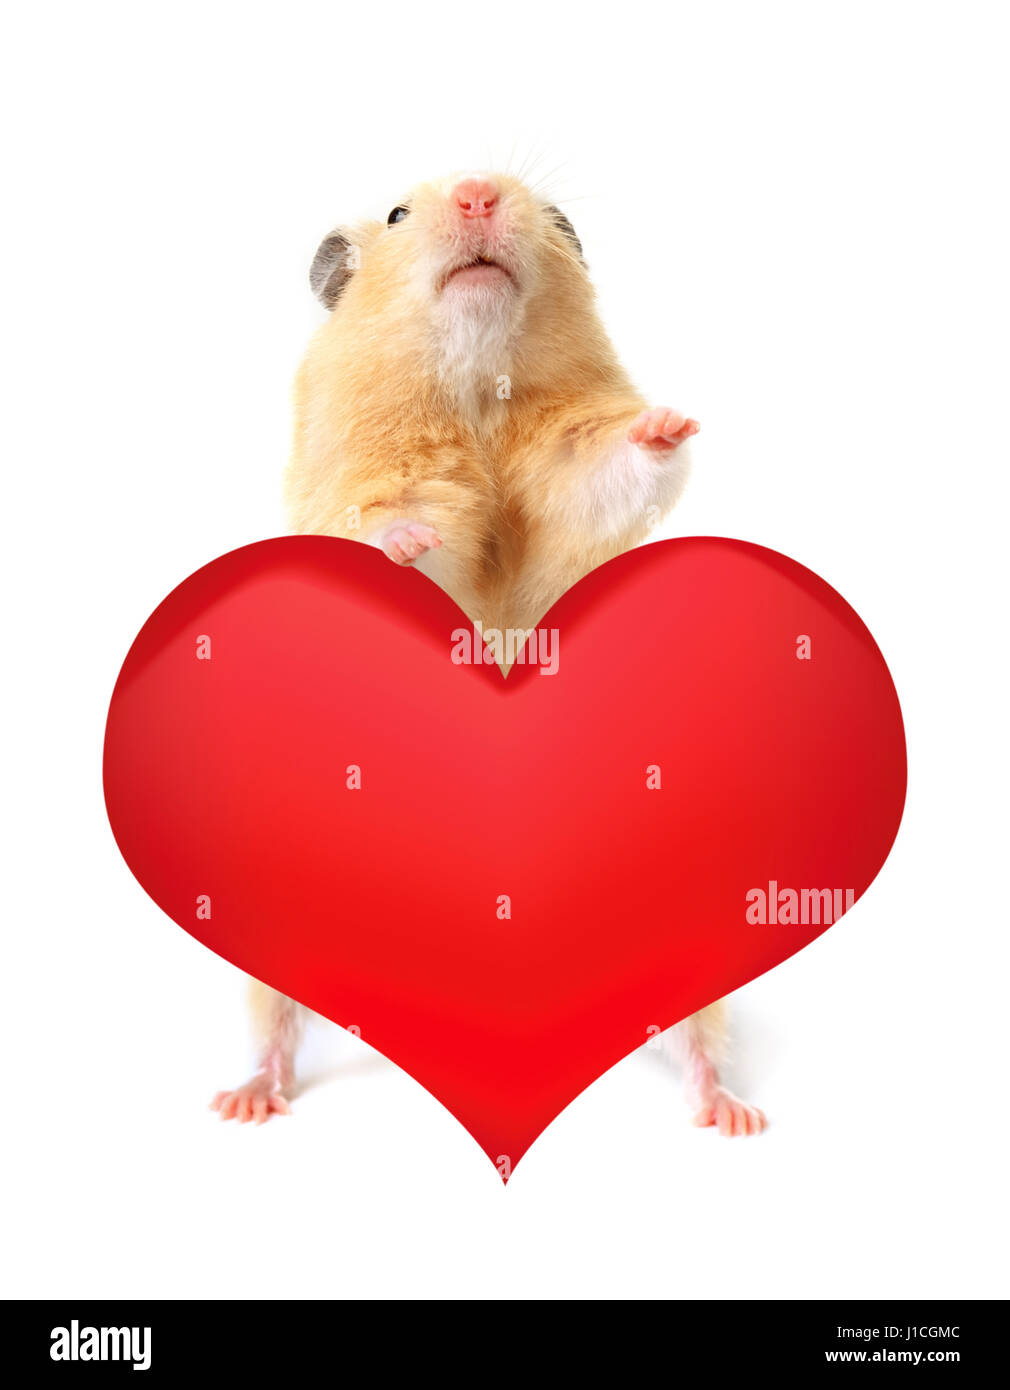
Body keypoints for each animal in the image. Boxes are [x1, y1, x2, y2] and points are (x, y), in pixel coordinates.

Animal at [211, 172, 766, 1139]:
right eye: (398, 214)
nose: (477, 193)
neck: (475, 387)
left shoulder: (567, 470)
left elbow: (615, 466)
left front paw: (669, 421)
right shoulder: (371, 479)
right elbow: (397, 531)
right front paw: (407, 537)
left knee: (696, 1035)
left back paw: (732, 1114)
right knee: (274, 1022)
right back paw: (244, 1103)